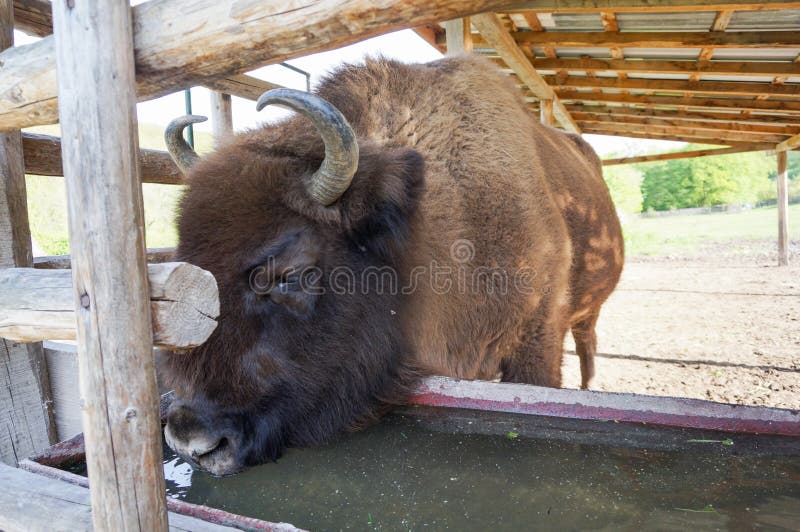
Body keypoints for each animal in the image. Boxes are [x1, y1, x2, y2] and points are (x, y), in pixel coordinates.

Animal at [161, 55, 623, 476]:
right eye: (188, 267)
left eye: (290, 274)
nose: (193, 442)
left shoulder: (536, 343)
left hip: (587, 312)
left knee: (588, 340)